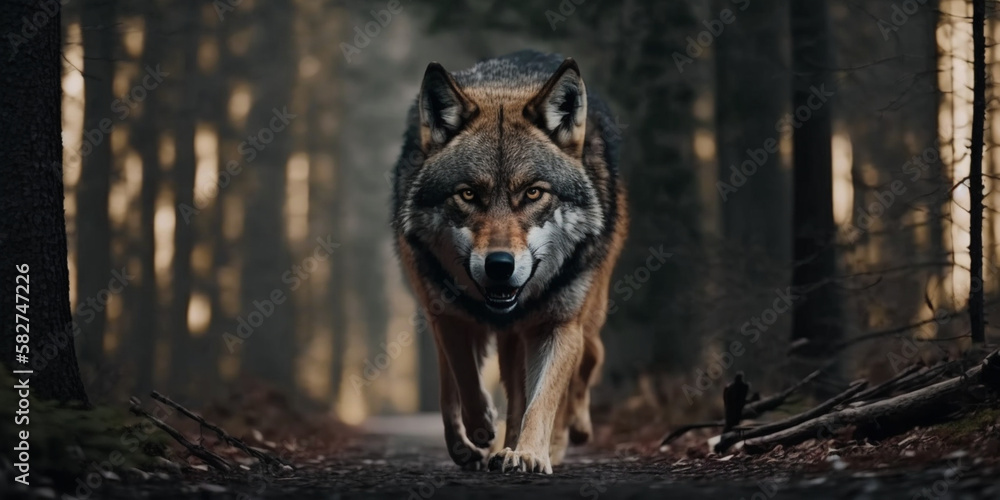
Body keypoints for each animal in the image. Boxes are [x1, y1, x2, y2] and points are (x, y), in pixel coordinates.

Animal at [391, 50, 628, 474]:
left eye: (533, 193)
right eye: (468, 194)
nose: (499, 264)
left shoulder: (557, 324)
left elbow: (543, 400)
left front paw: (532, 453)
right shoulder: (446, 314)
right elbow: (465, 376)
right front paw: (483, 428)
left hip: (583, 311)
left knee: (591, 353)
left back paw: (567, 433)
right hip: (489, 331)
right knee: (470, 387)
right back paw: (486, 445)